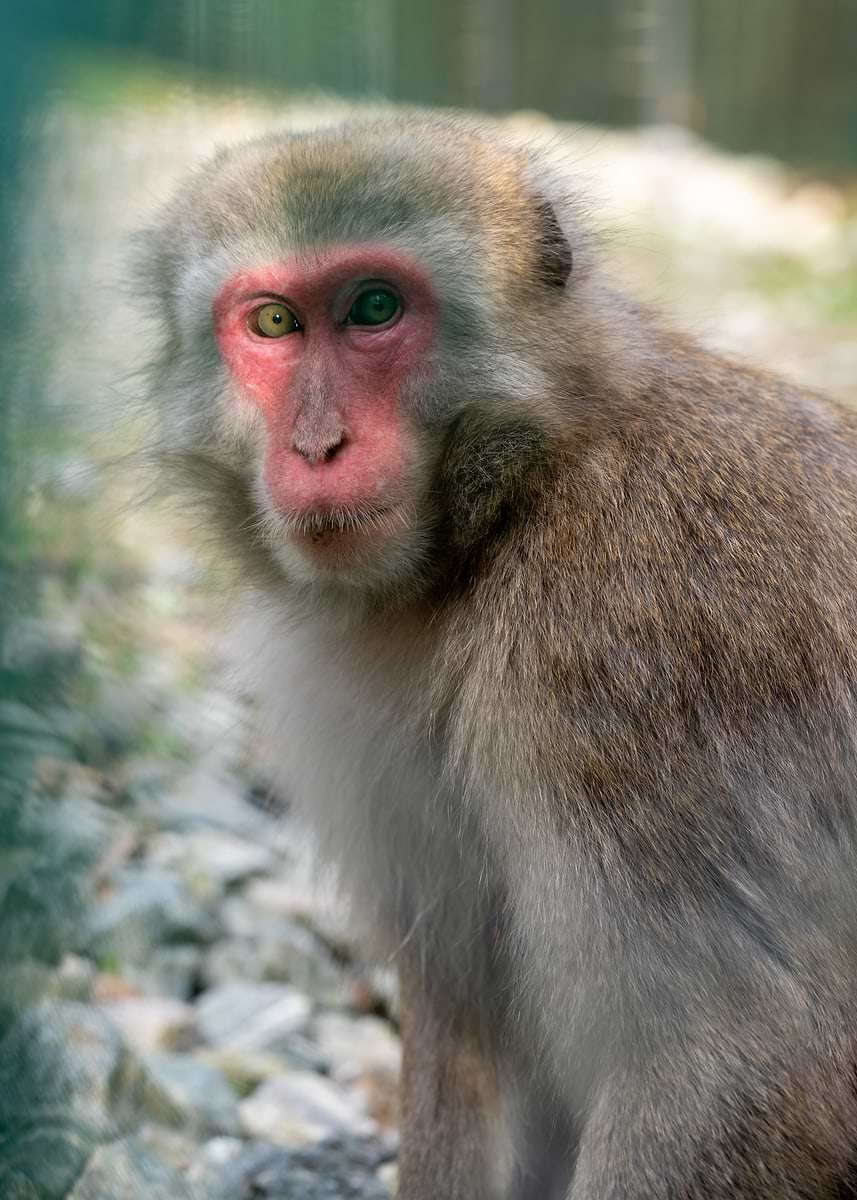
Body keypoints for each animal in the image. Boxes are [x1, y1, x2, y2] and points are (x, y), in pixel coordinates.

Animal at [136, 112, 857, 1199]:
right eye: (271, 324)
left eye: (374, 309)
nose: (316, 447)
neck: (514, 506)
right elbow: (468, 1020)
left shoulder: (622, 657)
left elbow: (731, 1043)